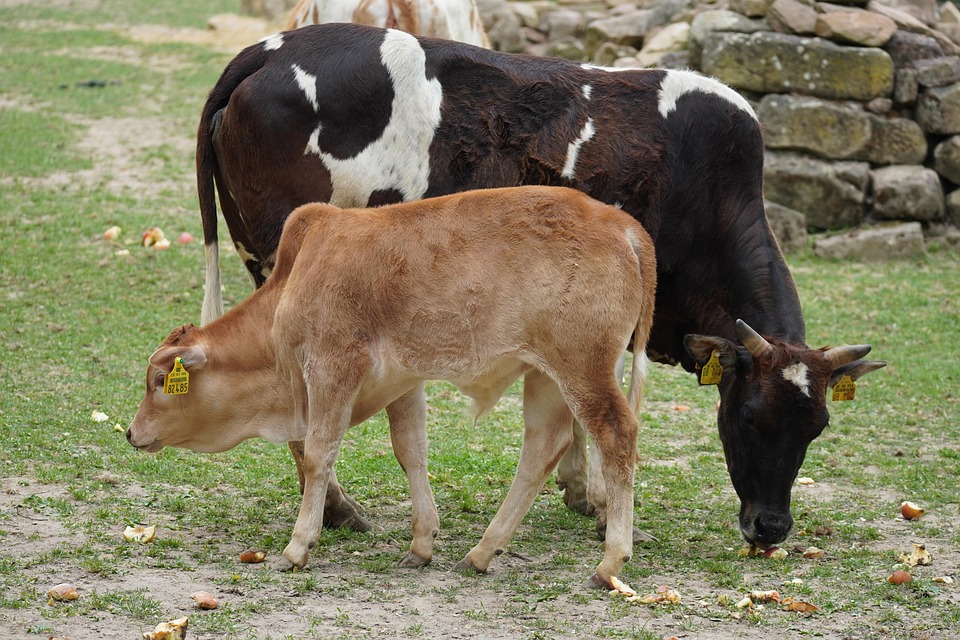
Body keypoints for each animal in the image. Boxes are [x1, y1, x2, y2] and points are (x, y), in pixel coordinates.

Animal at [128, 185, 657, 587]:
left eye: (160, 379)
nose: (132, 433)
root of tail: (621, 225)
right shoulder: (405, 380)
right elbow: (411, 451)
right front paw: (422, 543)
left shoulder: (332, 366)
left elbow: (319, 453)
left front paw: (298, 546)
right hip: (544, 375)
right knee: (543, 447)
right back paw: (482, 551)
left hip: (582, 371)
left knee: (617, 436)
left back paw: (610, 560)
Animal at [194, 23, 886, 552]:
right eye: (747, 415)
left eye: (817, 427)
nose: (771, 528)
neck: (707, 191)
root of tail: (272, 47)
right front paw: (603, 504)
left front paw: (581, 490)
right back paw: (337, 509)